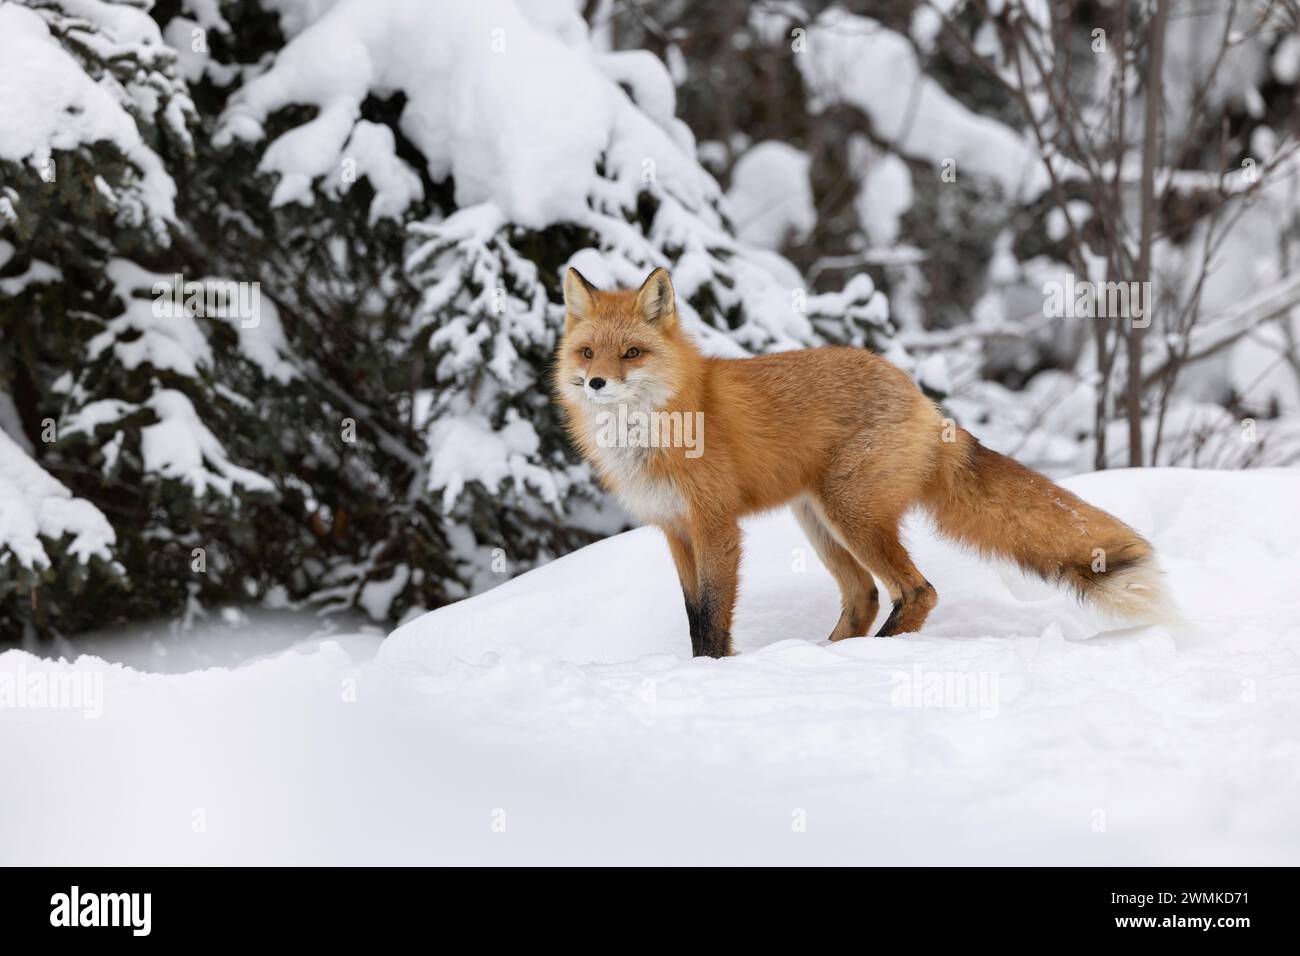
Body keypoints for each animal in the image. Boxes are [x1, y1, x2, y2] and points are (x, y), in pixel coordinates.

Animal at [554, 266, 1172, 658]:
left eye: (632, 353)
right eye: (587, 353)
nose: (597, 382)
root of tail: (918, 393)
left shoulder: (716, 527)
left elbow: (711, 617)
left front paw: (711, 674)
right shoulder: (674, 530)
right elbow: (693, 618)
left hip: (851, 513)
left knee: (917, 591)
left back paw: (873, 658)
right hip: (819, 521)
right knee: (864, 596)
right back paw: (823, 657)